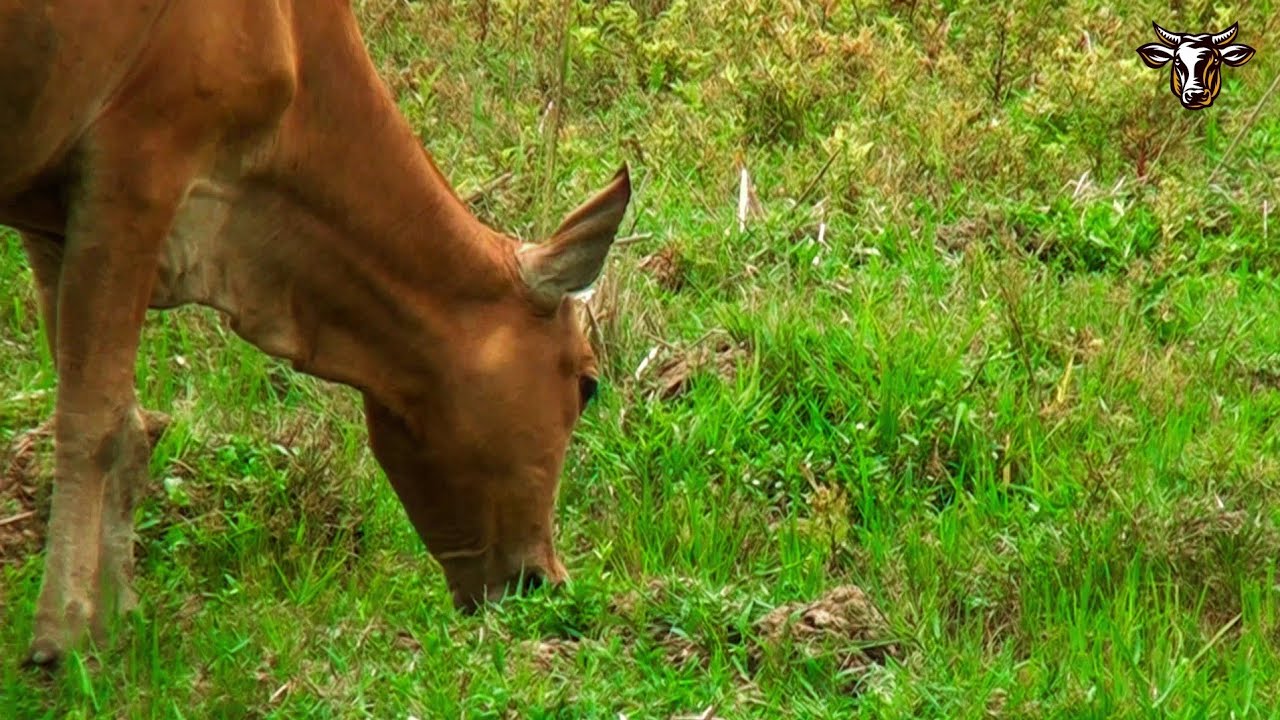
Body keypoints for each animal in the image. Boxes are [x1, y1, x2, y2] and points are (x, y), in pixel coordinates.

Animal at [0, 0, 630, 667]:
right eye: (588, 383)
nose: (543, 580)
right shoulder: (137, 166)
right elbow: (93, 426)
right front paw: (64, 633)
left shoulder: (52, 218)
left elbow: (126, 424)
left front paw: (116, 618)